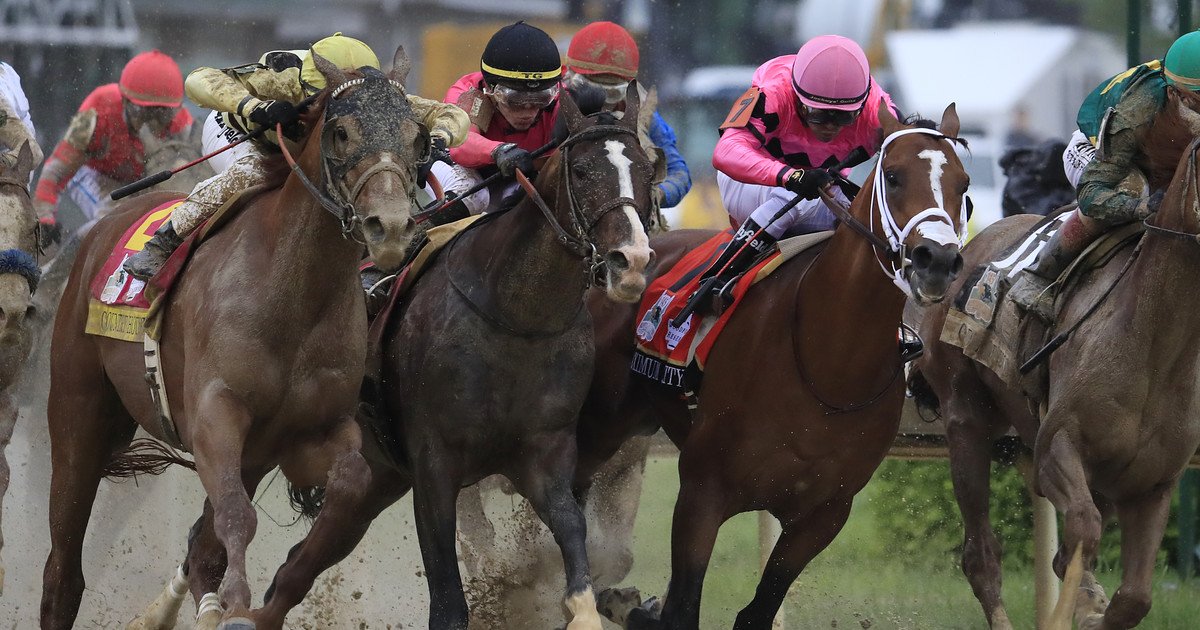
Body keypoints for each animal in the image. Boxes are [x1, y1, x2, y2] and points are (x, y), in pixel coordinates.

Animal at [40, 49, 427, 630]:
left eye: (416, 137)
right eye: (340, 132)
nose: (392, 227)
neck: (294, 294)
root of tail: (107, 223)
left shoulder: (311, 432)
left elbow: (349, 481)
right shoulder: (214, 415)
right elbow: (237, 517)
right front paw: (237, 606)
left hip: (249, 455)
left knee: (203, 542)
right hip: (78, 413)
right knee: (64, 566)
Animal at [908, 86, 1200, 630]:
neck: (1157, 345)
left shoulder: (1153, 481)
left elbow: (1133, 597)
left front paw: (1093, 607)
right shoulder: (1057, 446)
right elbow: (1082, 532)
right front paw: (1074, 611)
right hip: (966, 419)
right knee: (981, 555)